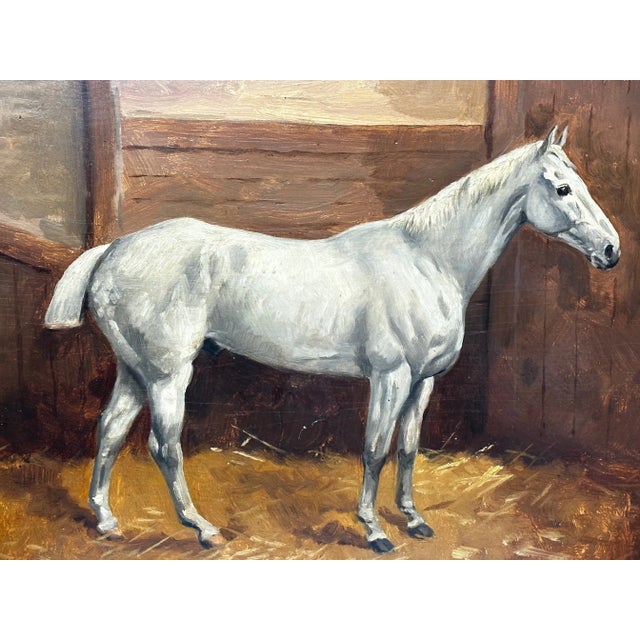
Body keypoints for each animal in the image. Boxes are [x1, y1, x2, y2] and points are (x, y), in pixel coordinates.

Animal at [44, 126, 620, 553]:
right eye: (562, 189)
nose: (612, 250)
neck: (427, 260)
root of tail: (114, 247)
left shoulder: (423, 382)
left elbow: (408, 447)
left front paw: (414, 520)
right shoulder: (390, 377)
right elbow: (374, 449)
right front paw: (375, 530)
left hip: (135, 369)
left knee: (110, 431)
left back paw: (106, 521)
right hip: (167, 374)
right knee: (164, 446)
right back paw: (202, 529)